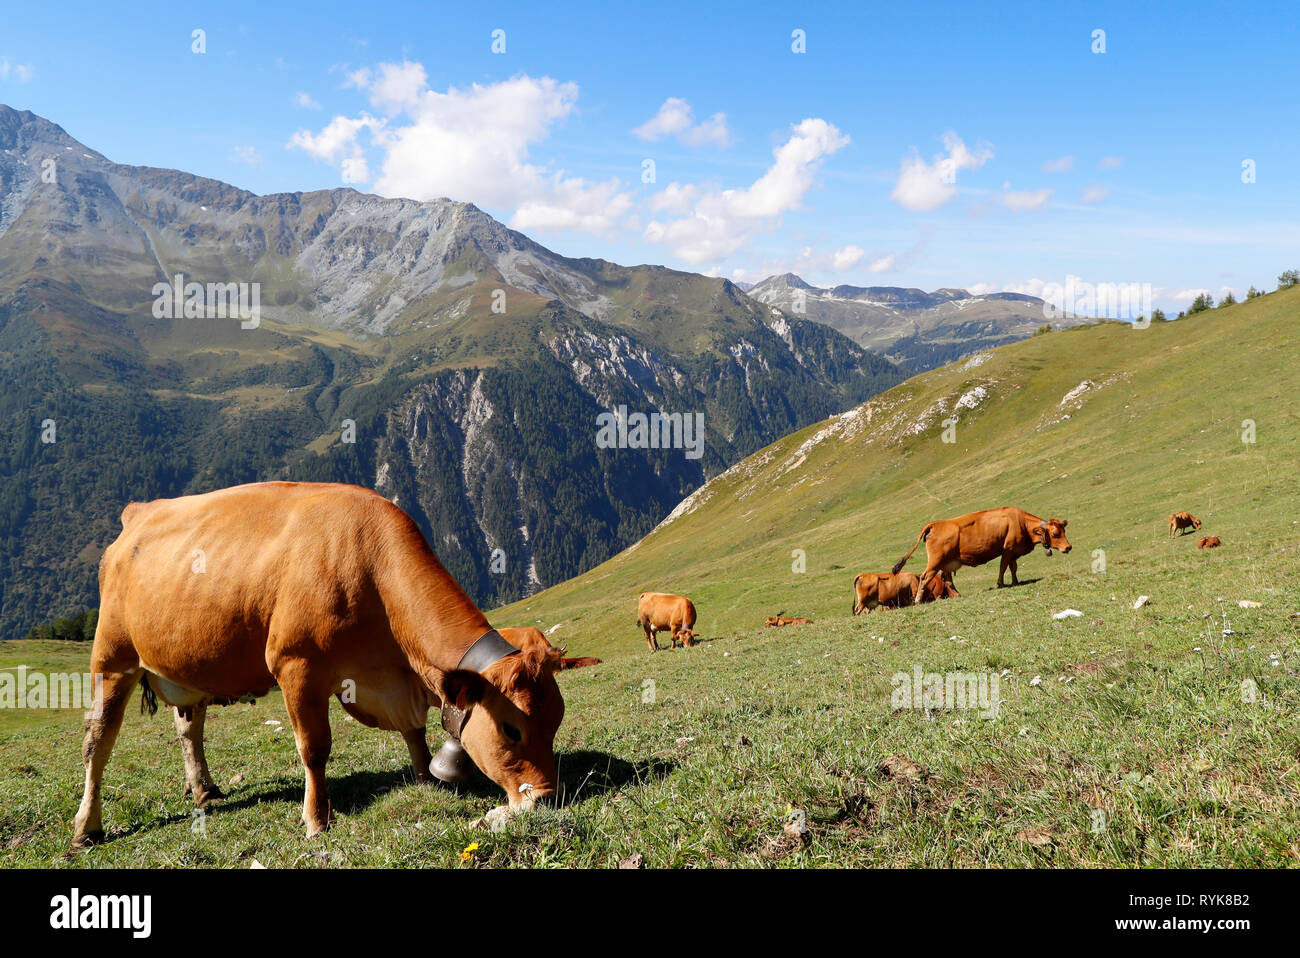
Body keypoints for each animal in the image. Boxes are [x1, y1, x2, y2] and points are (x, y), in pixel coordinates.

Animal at [72, 482, 596, 847]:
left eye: (557, 720)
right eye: (511, 729)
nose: (546, 795)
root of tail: (140, 512)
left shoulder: (392, 682)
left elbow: (414, 731)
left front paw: (427, 777)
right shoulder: (297, 665)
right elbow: (314, 748)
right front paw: (315, 820)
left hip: (185, 666)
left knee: (189, 728)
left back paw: (204, 791)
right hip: (113, 657)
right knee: (98, 740)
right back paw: (87, 828)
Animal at [892, 506, 1072, 597]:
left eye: (1064, 531)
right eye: (1055, 534)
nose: (1068, 547)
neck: (1022, 522)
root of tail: (935, 524)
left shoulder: (1014, 551)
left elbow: (1013, 568)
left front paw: (1015, 582)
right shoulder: (1008, 550)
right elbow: (1003, 567)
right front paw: (1001, 584)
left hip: (946, 563)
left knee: (947, 579)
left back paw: (958, 595)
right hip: (935, 562)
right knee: (925, 578)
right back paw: (918, 601)